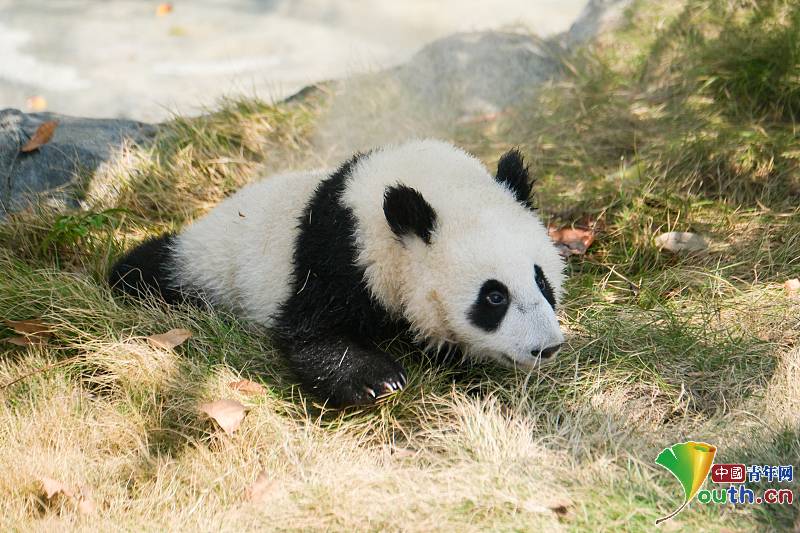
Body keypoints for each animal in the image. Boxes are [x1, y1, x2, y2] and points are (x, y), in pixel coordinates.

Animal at [109, 139, 566, 407]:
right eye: (494, 296)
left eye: (542, 282)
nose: (547, 348)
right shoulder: (336, 250)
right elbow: (310, 331)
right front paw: (376, 380)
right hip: (209, 263)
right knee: (152, 269)